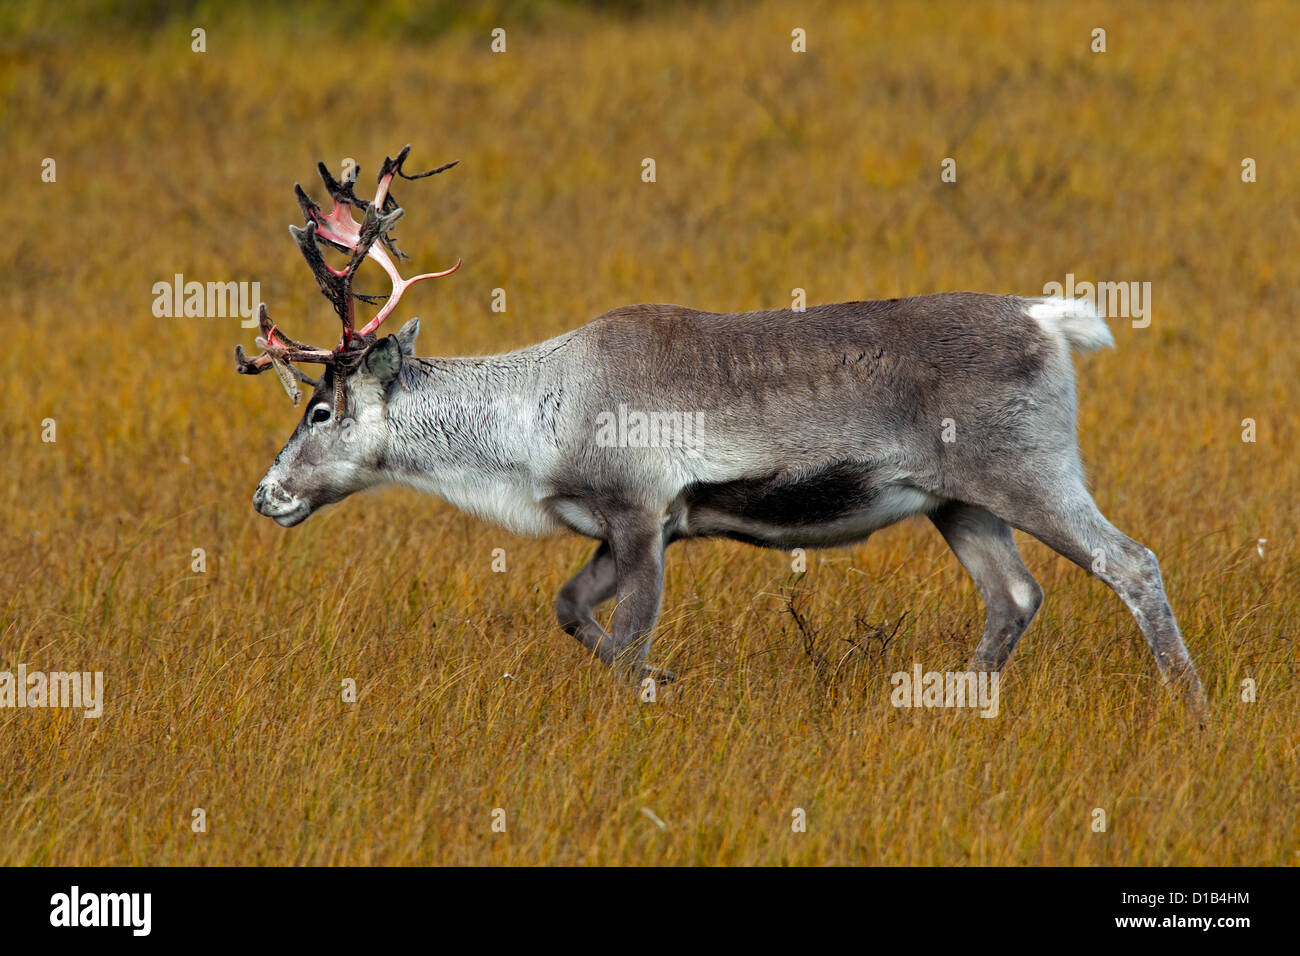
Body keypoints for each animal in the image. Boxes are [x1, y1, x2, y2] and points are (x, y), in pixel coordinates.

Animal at [236, 145, 1202, 702]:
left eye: (319, 408)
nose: (265, 496)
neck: (534, 421)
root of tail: (1047, 320)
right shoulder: (632, 525)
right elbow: (568, 610)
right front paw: (665, 680)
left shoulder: (638, 516)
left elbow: (626, 640)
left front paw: (648, 691)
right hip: (955, 501)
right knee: (1014, 596)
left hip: (1029, 472)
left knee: (1130, 562)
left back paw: (1188, 706)